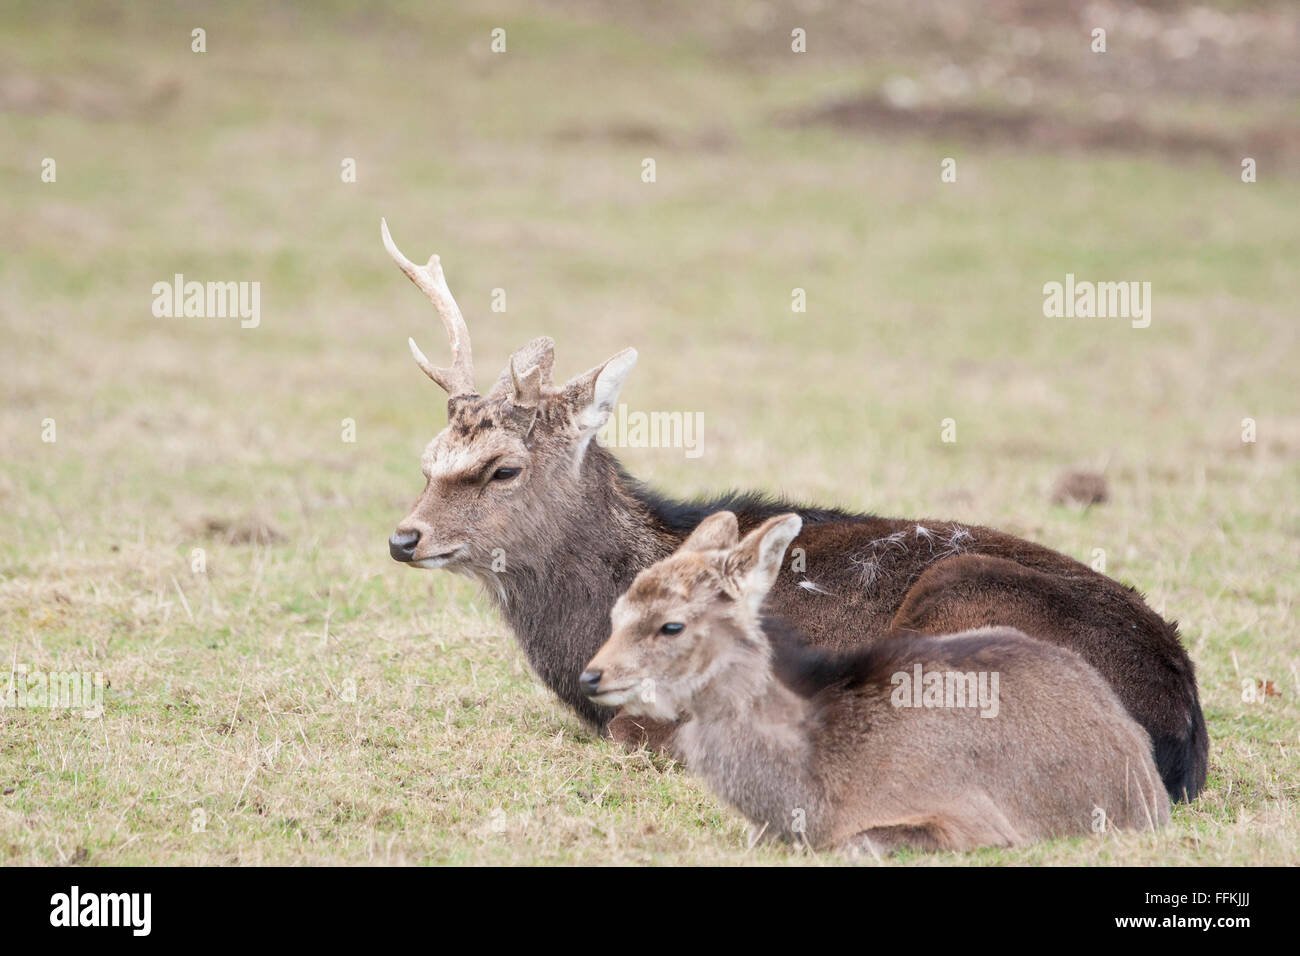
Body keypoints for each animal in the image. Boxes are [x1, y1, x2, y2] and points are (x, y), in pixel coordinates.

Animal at [378, 220, 1208, 802]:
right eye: (427, 460)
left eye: (503, 468)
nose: (403, 537)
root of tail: (1179, 727)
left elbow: (632, 731)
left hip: (962, 601)